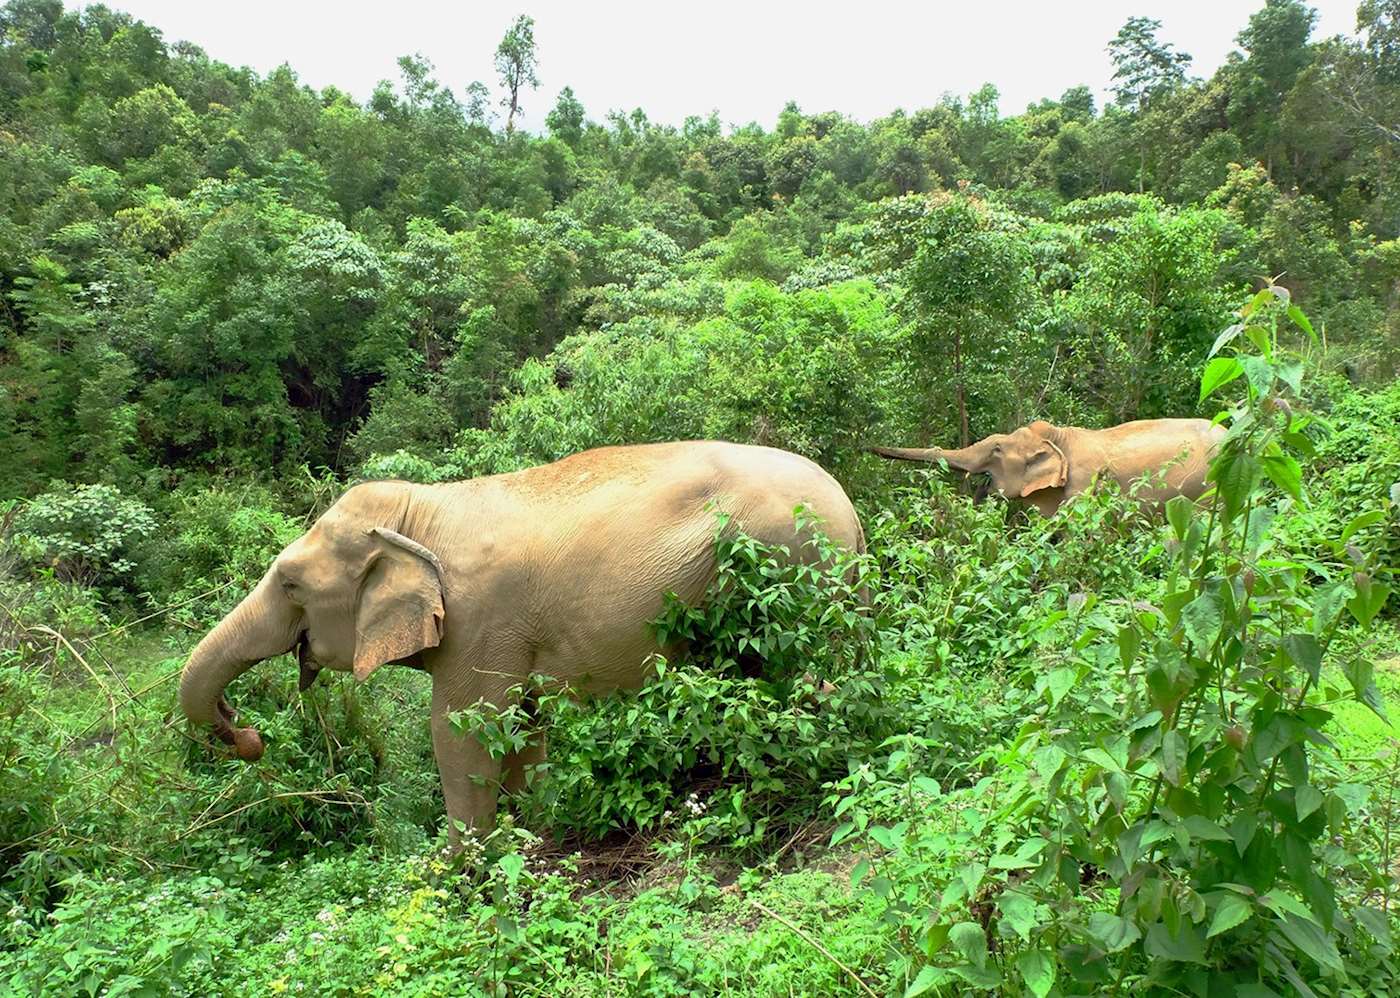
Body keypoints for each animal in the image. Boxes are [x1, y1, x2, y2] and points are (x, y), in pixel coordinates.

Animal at [178, 441, 865, 845]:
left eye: (290, 583)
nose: (246, 732)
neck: (420, 511)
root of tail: (850, 508)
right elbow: (523, 730)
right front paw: (533, 837)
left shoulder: (481, 620)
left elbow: (462, 733)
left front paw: (462, 878)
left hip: (790, 566)